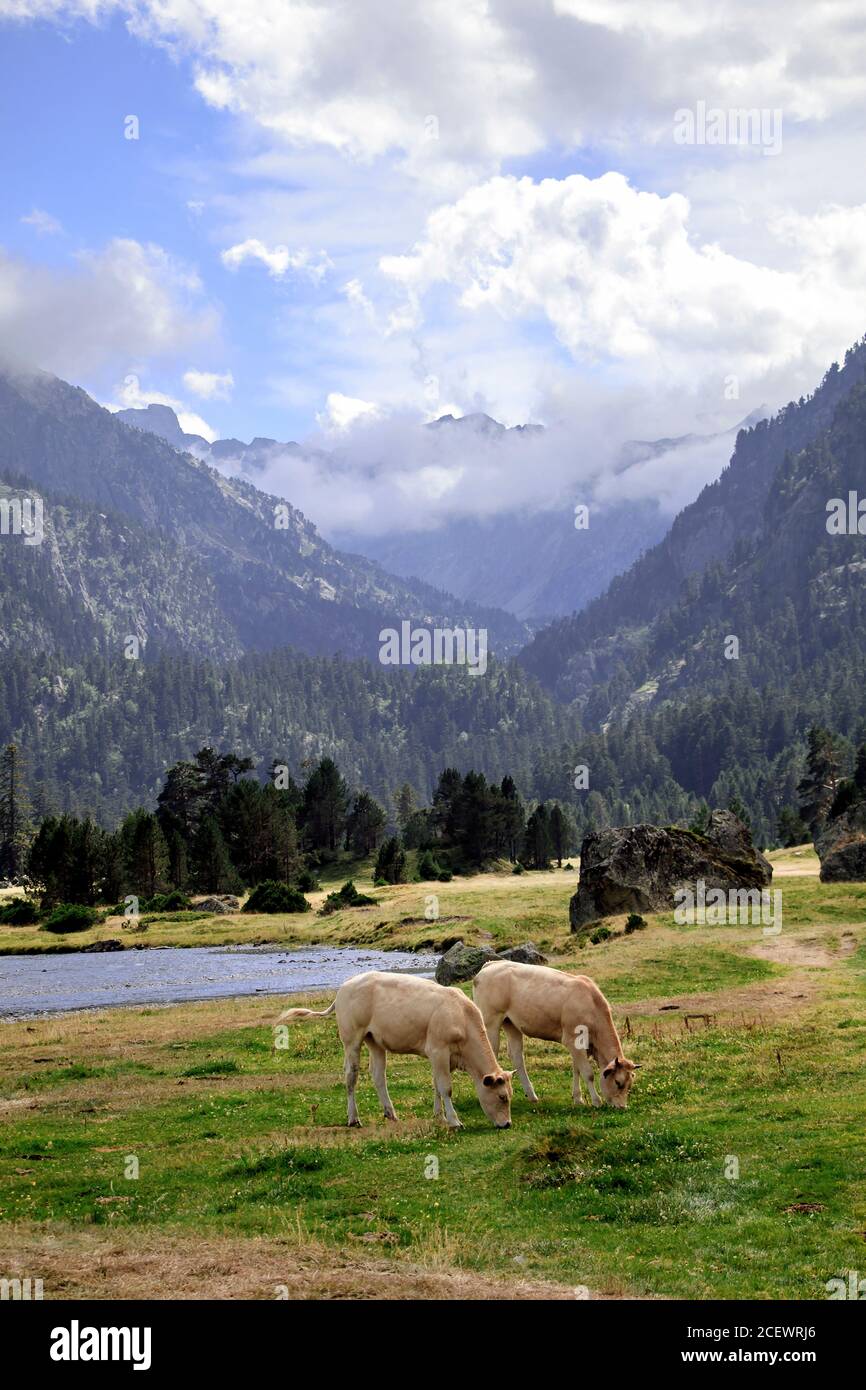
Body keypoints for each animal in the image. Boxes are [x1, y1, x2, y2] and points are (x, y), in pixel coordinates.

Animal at [278, 971, 514, 1129]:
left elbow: (436, 1086)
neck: (462, 1017)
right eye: (502, 1097)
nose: (508, 1124)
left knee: (378, 1075)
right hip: (351, 1039)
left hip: (375, 1041)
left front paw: (439, 1116)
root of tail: (345, 986)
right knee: (351, 1075)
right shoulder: (439, 1050)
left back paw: (390, 1113)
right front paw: (454, 1121)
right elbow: (446, 1088)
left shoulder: (444, 1057)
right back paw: (353, 1118)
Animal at [472, 960, 639, 1109]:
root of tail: (491, 964)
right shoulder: (572, 1039)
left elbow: (577, 1069)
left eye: (629, 1085)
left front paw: (578, 1099)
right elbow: (588, 1073)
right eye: (618, 1083)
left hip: (511, 1024)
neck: (591, 1004)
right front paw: (596, 1101)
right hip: (490, 1021)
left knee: (517, 1057)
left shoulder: (579, 1044)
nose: (622, 1107)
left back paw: (531, 1095)